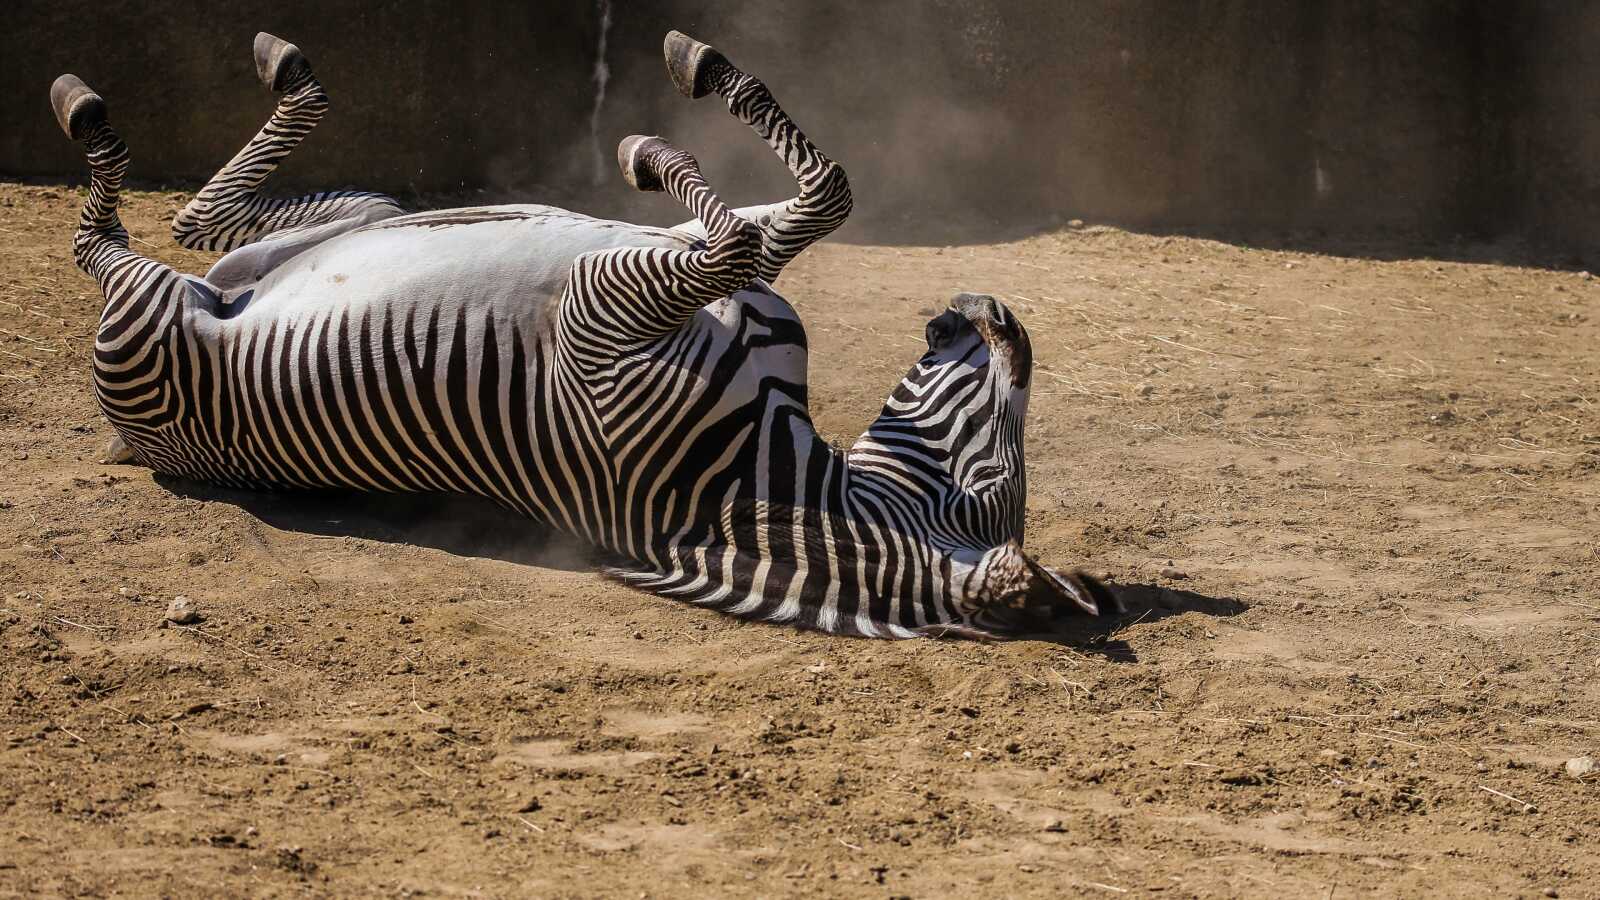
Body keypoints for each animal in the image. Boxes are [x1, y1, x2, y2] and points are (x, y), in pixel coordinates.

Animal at [50, 30, 1123, 640]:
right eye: (1002, 464)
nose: (987, 311)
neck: (747, 481)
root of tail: (128, 441)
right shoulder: (682, 283)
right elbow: (810, 204)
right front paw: (664, 130)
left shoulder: (609, 312)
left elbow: (773, 217)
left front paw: (653, 141)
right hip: (345, 223)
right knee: (200, 220)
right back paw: (269, 66)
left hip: (148, 315)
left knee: (112, 233)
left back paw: (91, 109)